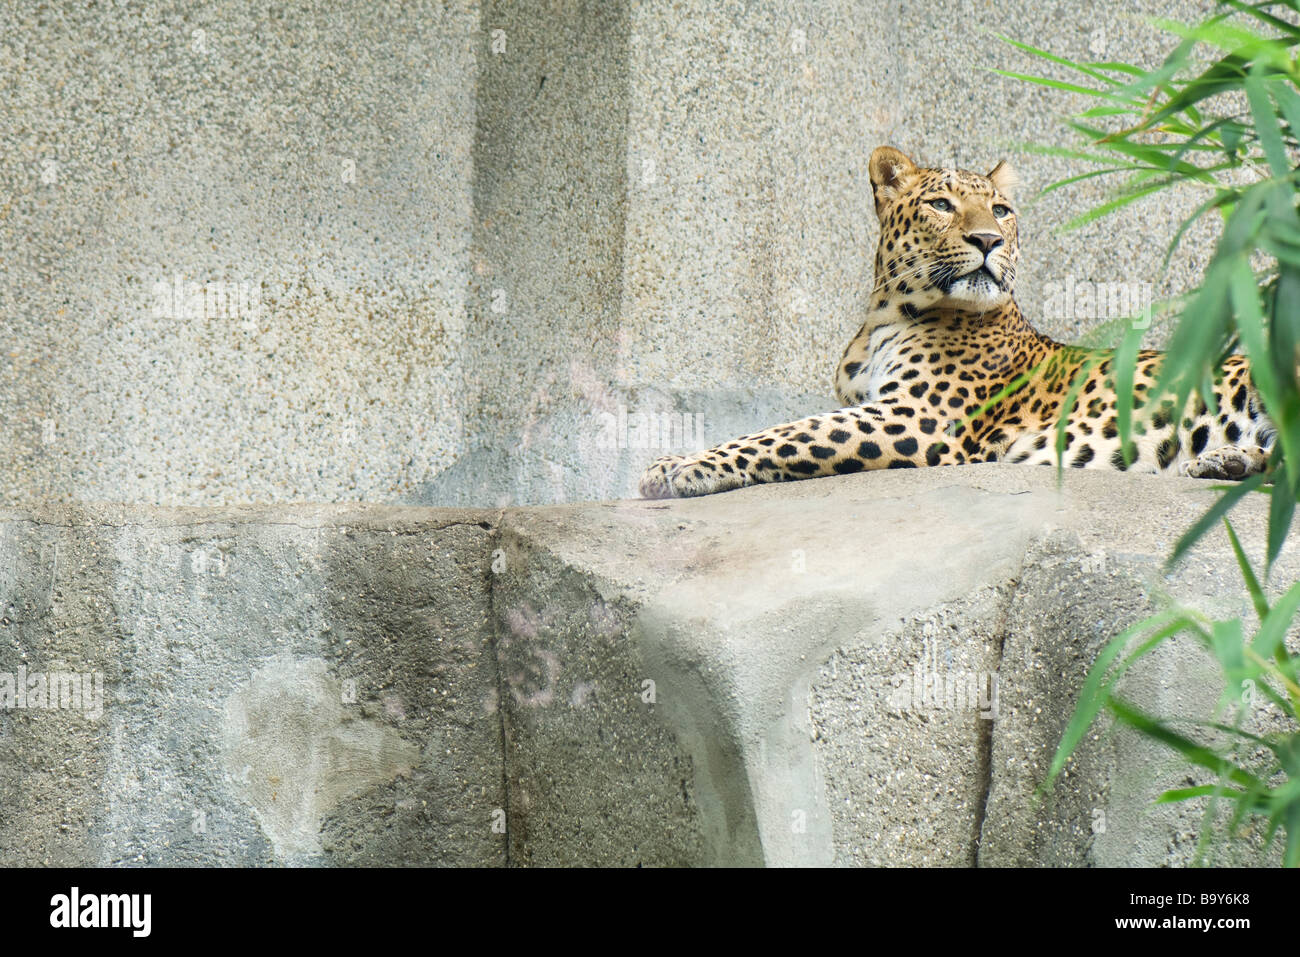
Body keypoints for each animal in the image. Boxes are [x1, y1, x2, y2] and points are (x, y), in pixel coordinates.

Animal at [639, 145, 1276, 499]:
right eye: (942, 205)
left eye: (1001, 210)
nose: (988, 240)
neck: (881, 316)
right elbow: (790, 428)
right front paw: (677, 461)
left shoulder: (916, 417)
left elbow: (788, 433)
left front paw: (682, 467)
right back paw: (1226, 461)